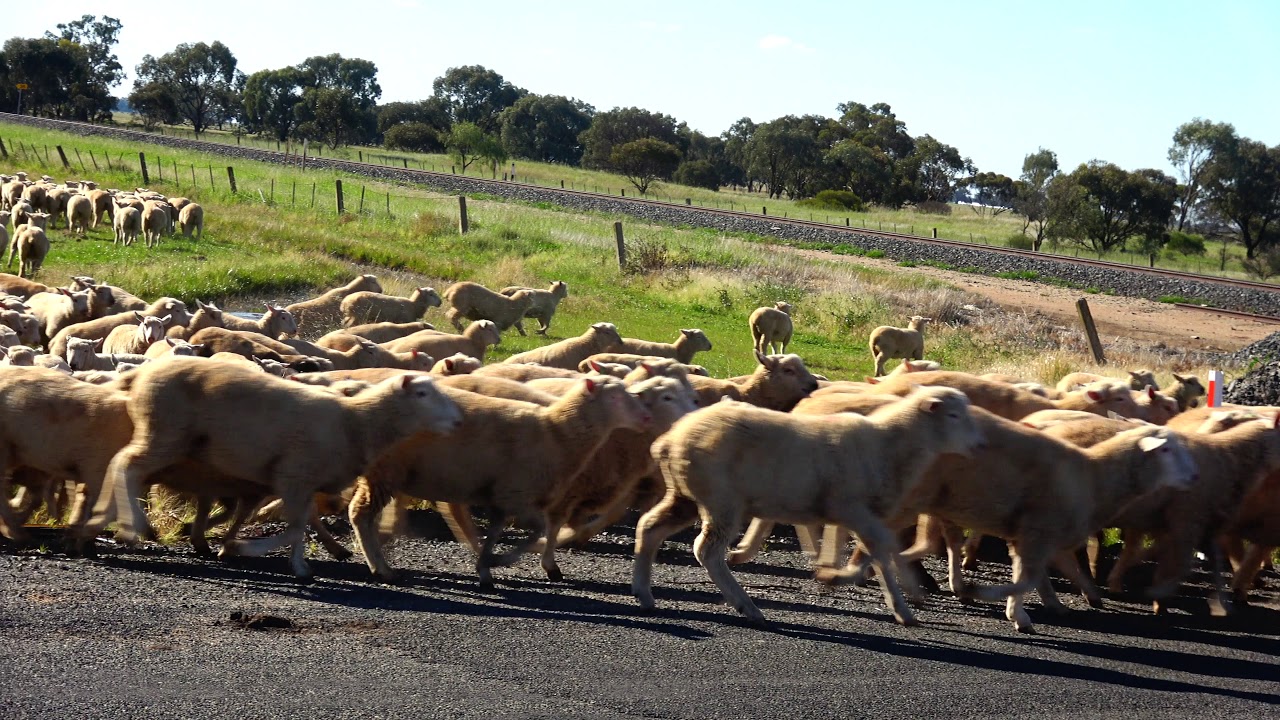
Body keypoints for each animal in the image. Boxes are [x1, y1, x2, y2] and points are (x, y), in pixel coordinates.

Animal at [81, 358, 463, 578]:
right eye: (423, 394)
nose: (458, 421)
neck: (356, 422)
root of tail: (143, 372)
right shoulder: (293, 475)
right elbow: (294, 530)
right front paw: (241, 548)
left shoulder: (303, 482)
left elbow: (300, 526)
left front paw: (299, 566)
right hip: (165, 431)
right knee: (127, 466)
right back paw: (132, 527)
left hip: (162, 433)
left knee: (120, 463)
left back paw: (102, 520)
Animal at [349, 375, 652, 586]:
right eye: (614, 398)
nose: (646, 418)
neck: (555, 433)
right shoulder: (515, 494)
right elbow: (537, 530)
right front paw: (501, 560)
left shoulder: (503, 498)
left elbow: (497, 533)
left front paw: (485, 567)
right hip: (384, 473)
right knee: (360, 514)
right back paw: (380, 567)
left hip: (386, 474)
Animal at [633, 387, 983, 627]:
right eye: (954, 415)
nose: (978, 445)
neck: (890, 445)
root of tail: (670, 440)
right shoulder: (853, 508)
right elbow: (883, 551)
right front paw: (903, 603)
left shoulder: (863, 514)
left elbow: (881, 551)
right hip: (722, 500)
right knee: (706, 551)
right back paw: (747, 606)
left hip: (687, 496)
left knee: (649, 527)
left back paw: (644, 594)